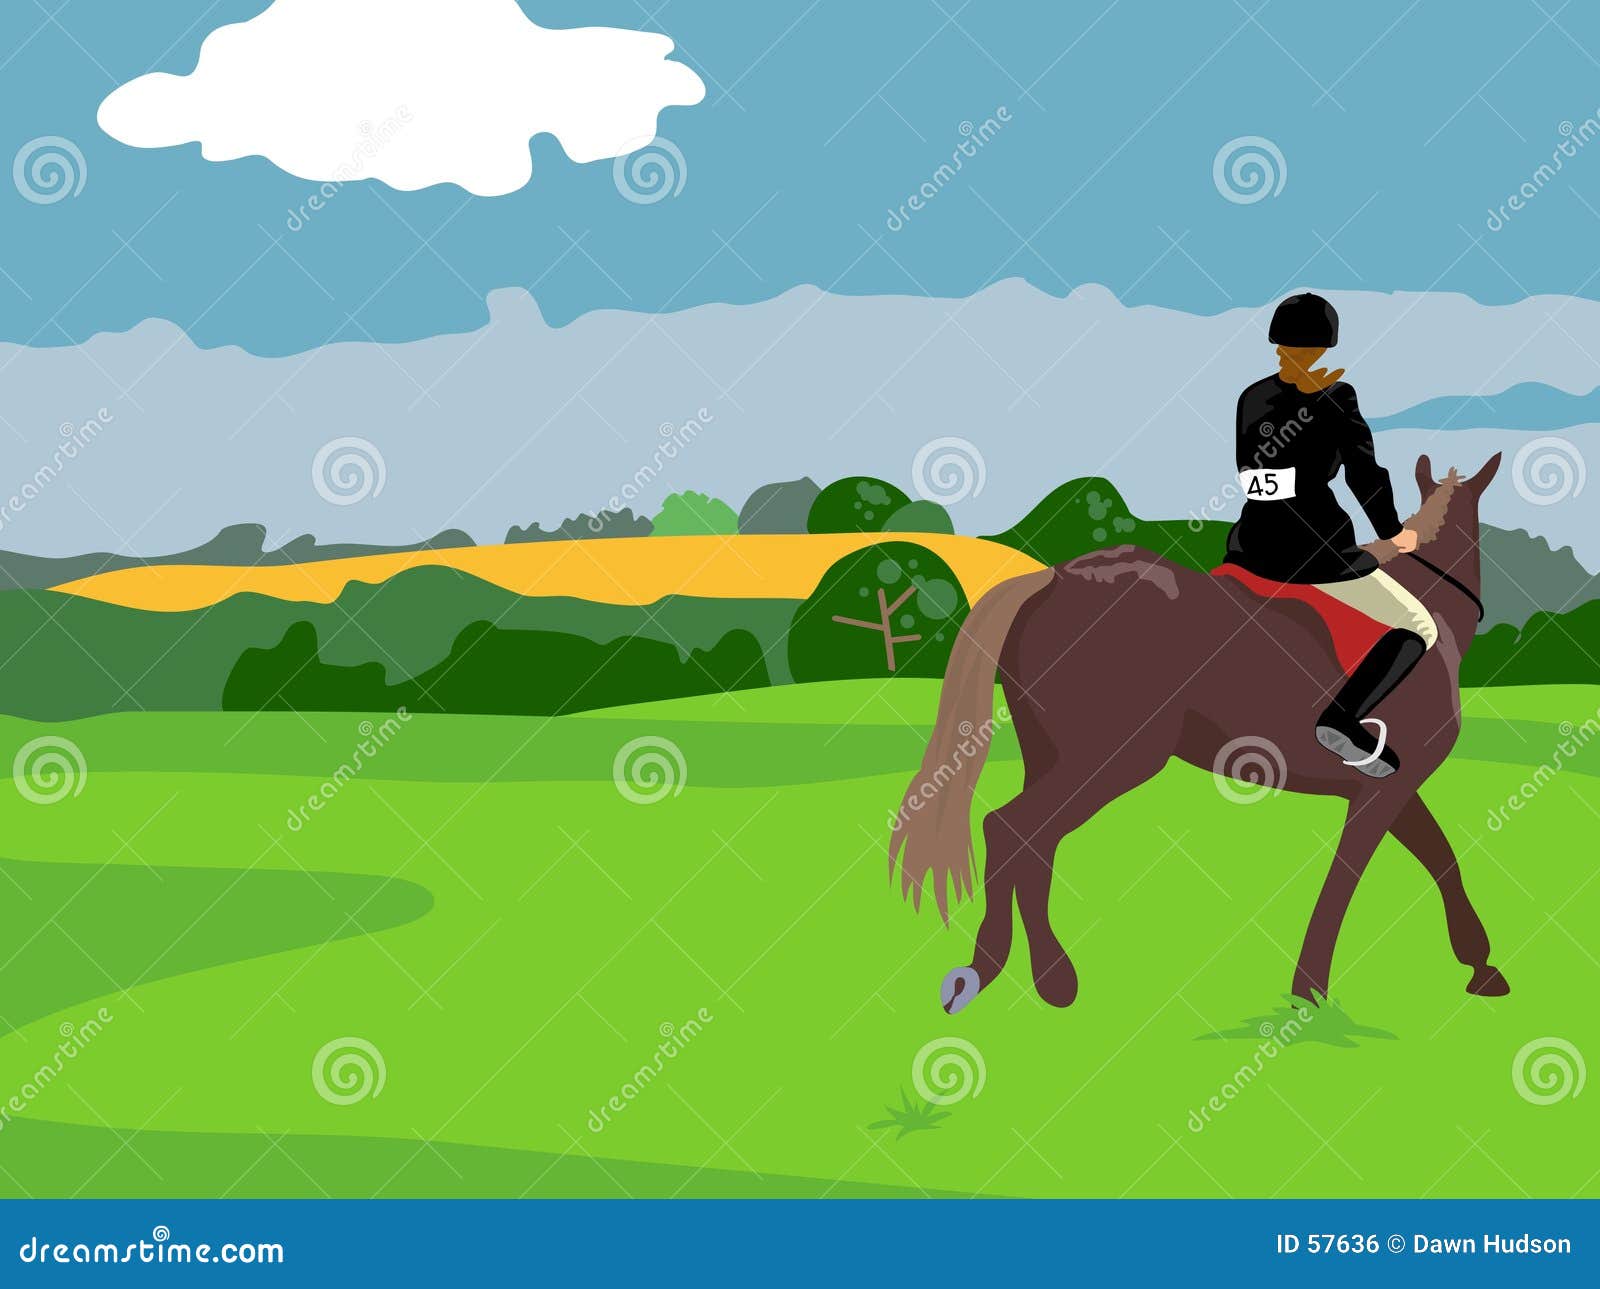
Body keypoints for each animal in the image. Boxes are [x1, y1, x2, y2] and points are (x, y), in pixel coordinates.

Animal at [888, 453, 1509, 1015]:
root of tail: (1050, 577)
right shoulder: (1383, 792)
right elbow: (1347, 883)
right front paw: (1309, 993)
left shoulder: (1394, 788)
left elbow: (1440, 858)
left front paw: (1481, 967)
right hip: (1110, 759)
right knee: (1012, 830)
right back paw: (1020, 975)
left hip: (1052, 756)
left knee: (1030, 844)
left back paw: (1028, 977)